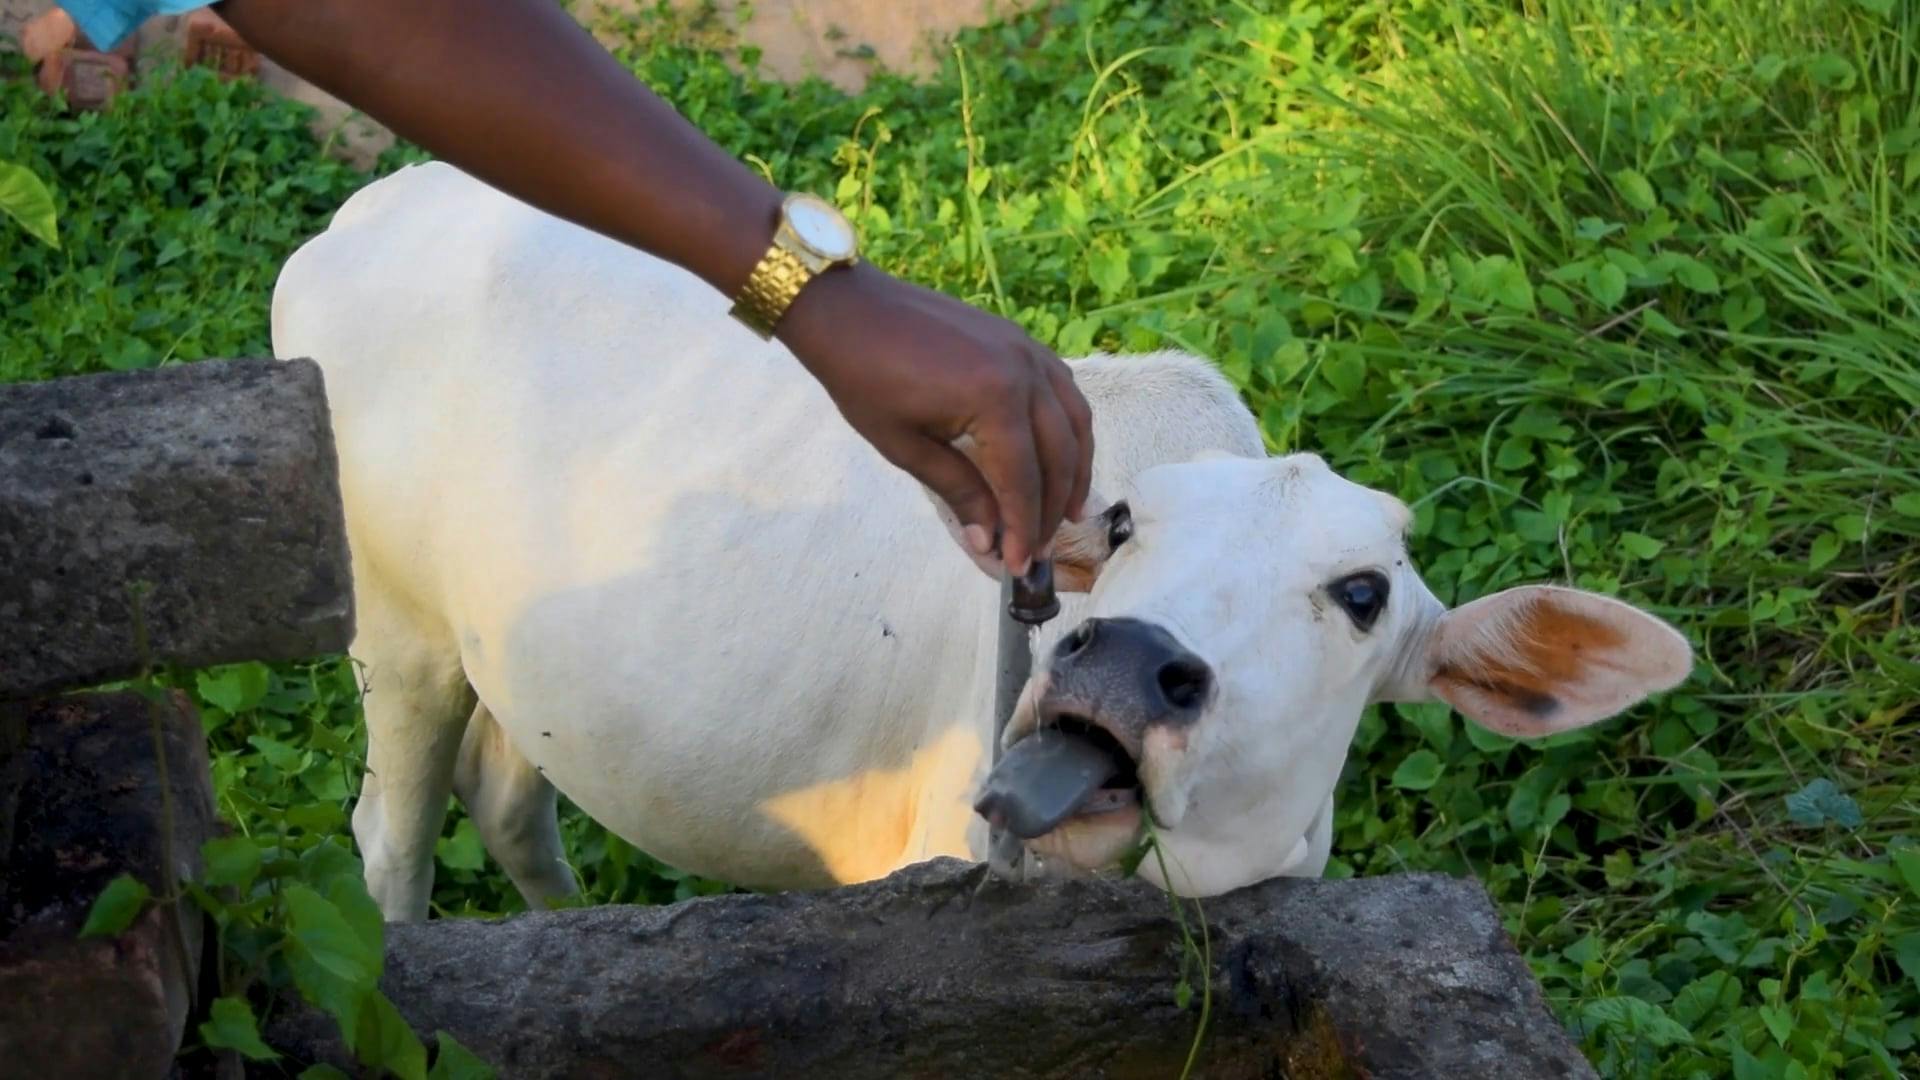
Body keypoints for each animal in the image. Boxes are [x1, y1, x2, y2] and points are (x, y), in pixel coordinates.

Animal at [272, 162, 1693, 922]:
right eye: (1122, 523)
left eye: (1358, 593)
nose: (1117, 664)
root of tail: (364, 212)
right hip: (395, 635)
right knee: (389, 838)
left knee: (513, 801)